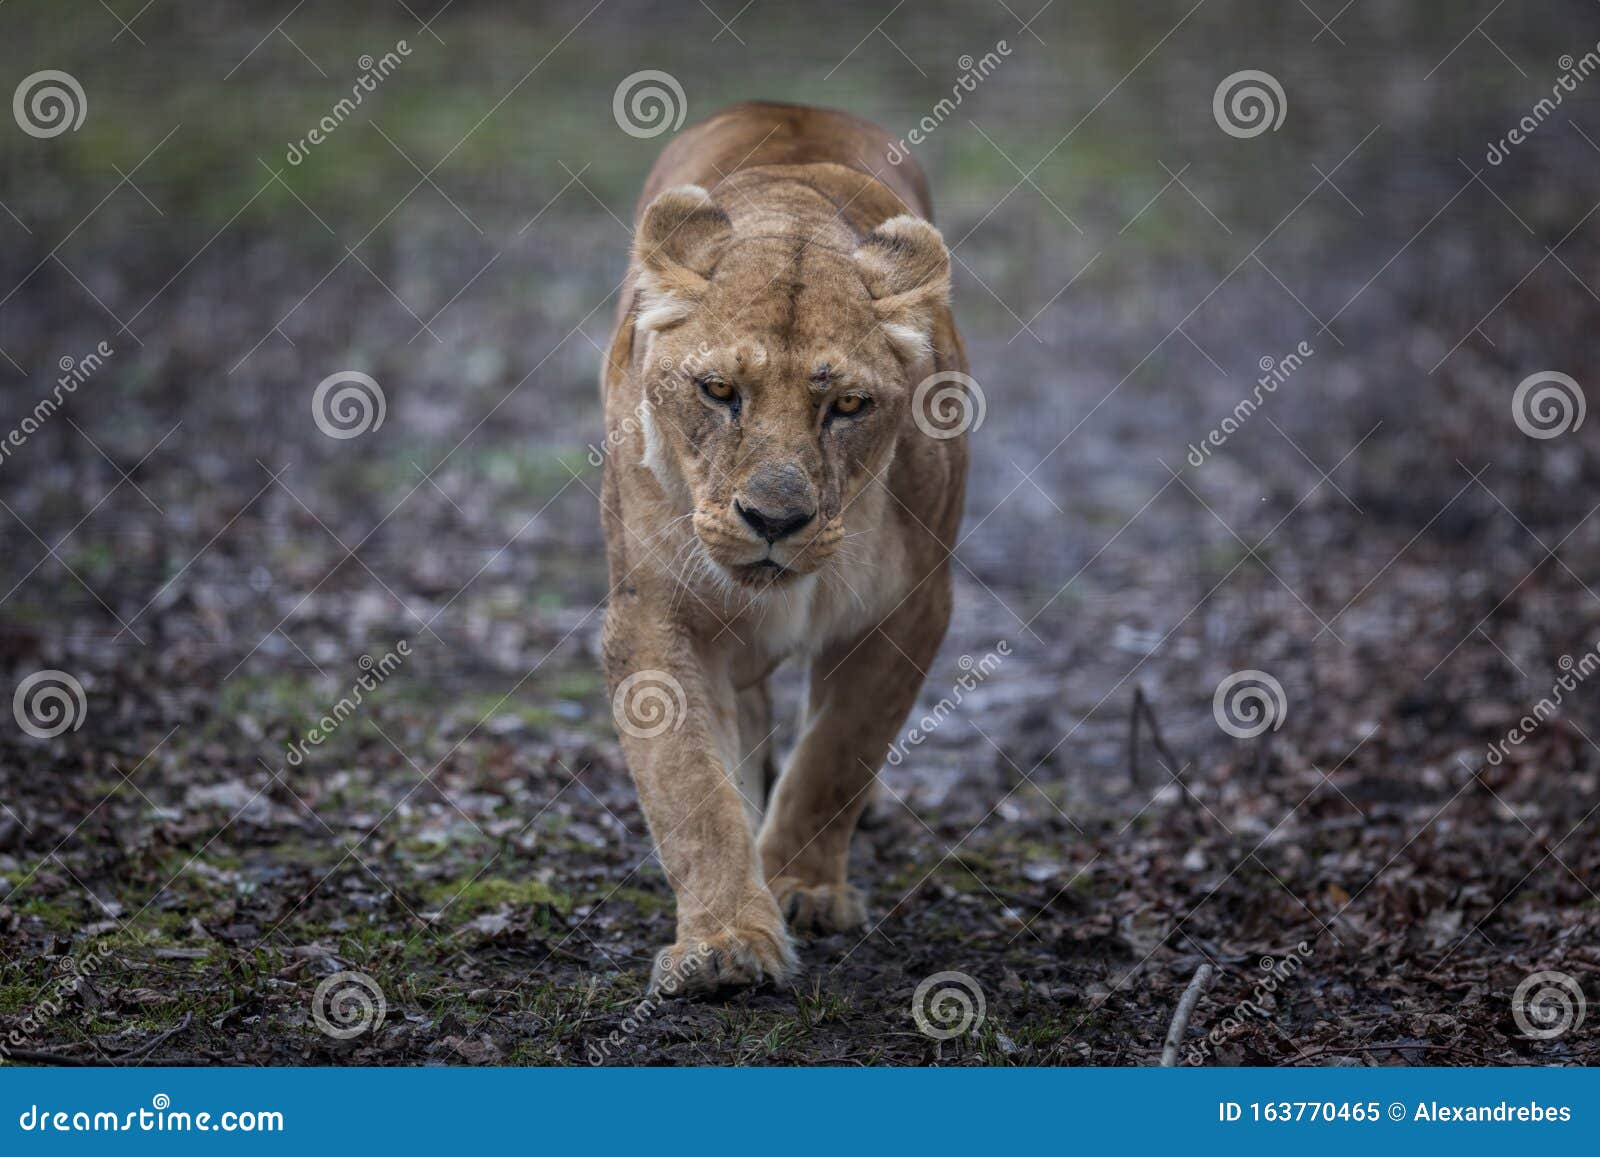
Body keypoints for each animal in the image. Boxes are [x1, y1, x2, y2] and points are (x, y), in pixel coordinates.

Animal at [599, 101, 969, 993]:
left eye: (849, 405)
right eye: (718, 391)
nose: (773, 518)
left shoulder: (910, 609)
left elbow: (840, 753)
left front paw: (801, 886)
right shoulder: (652, 611)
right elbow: (690, 784)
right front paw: (727, 939)